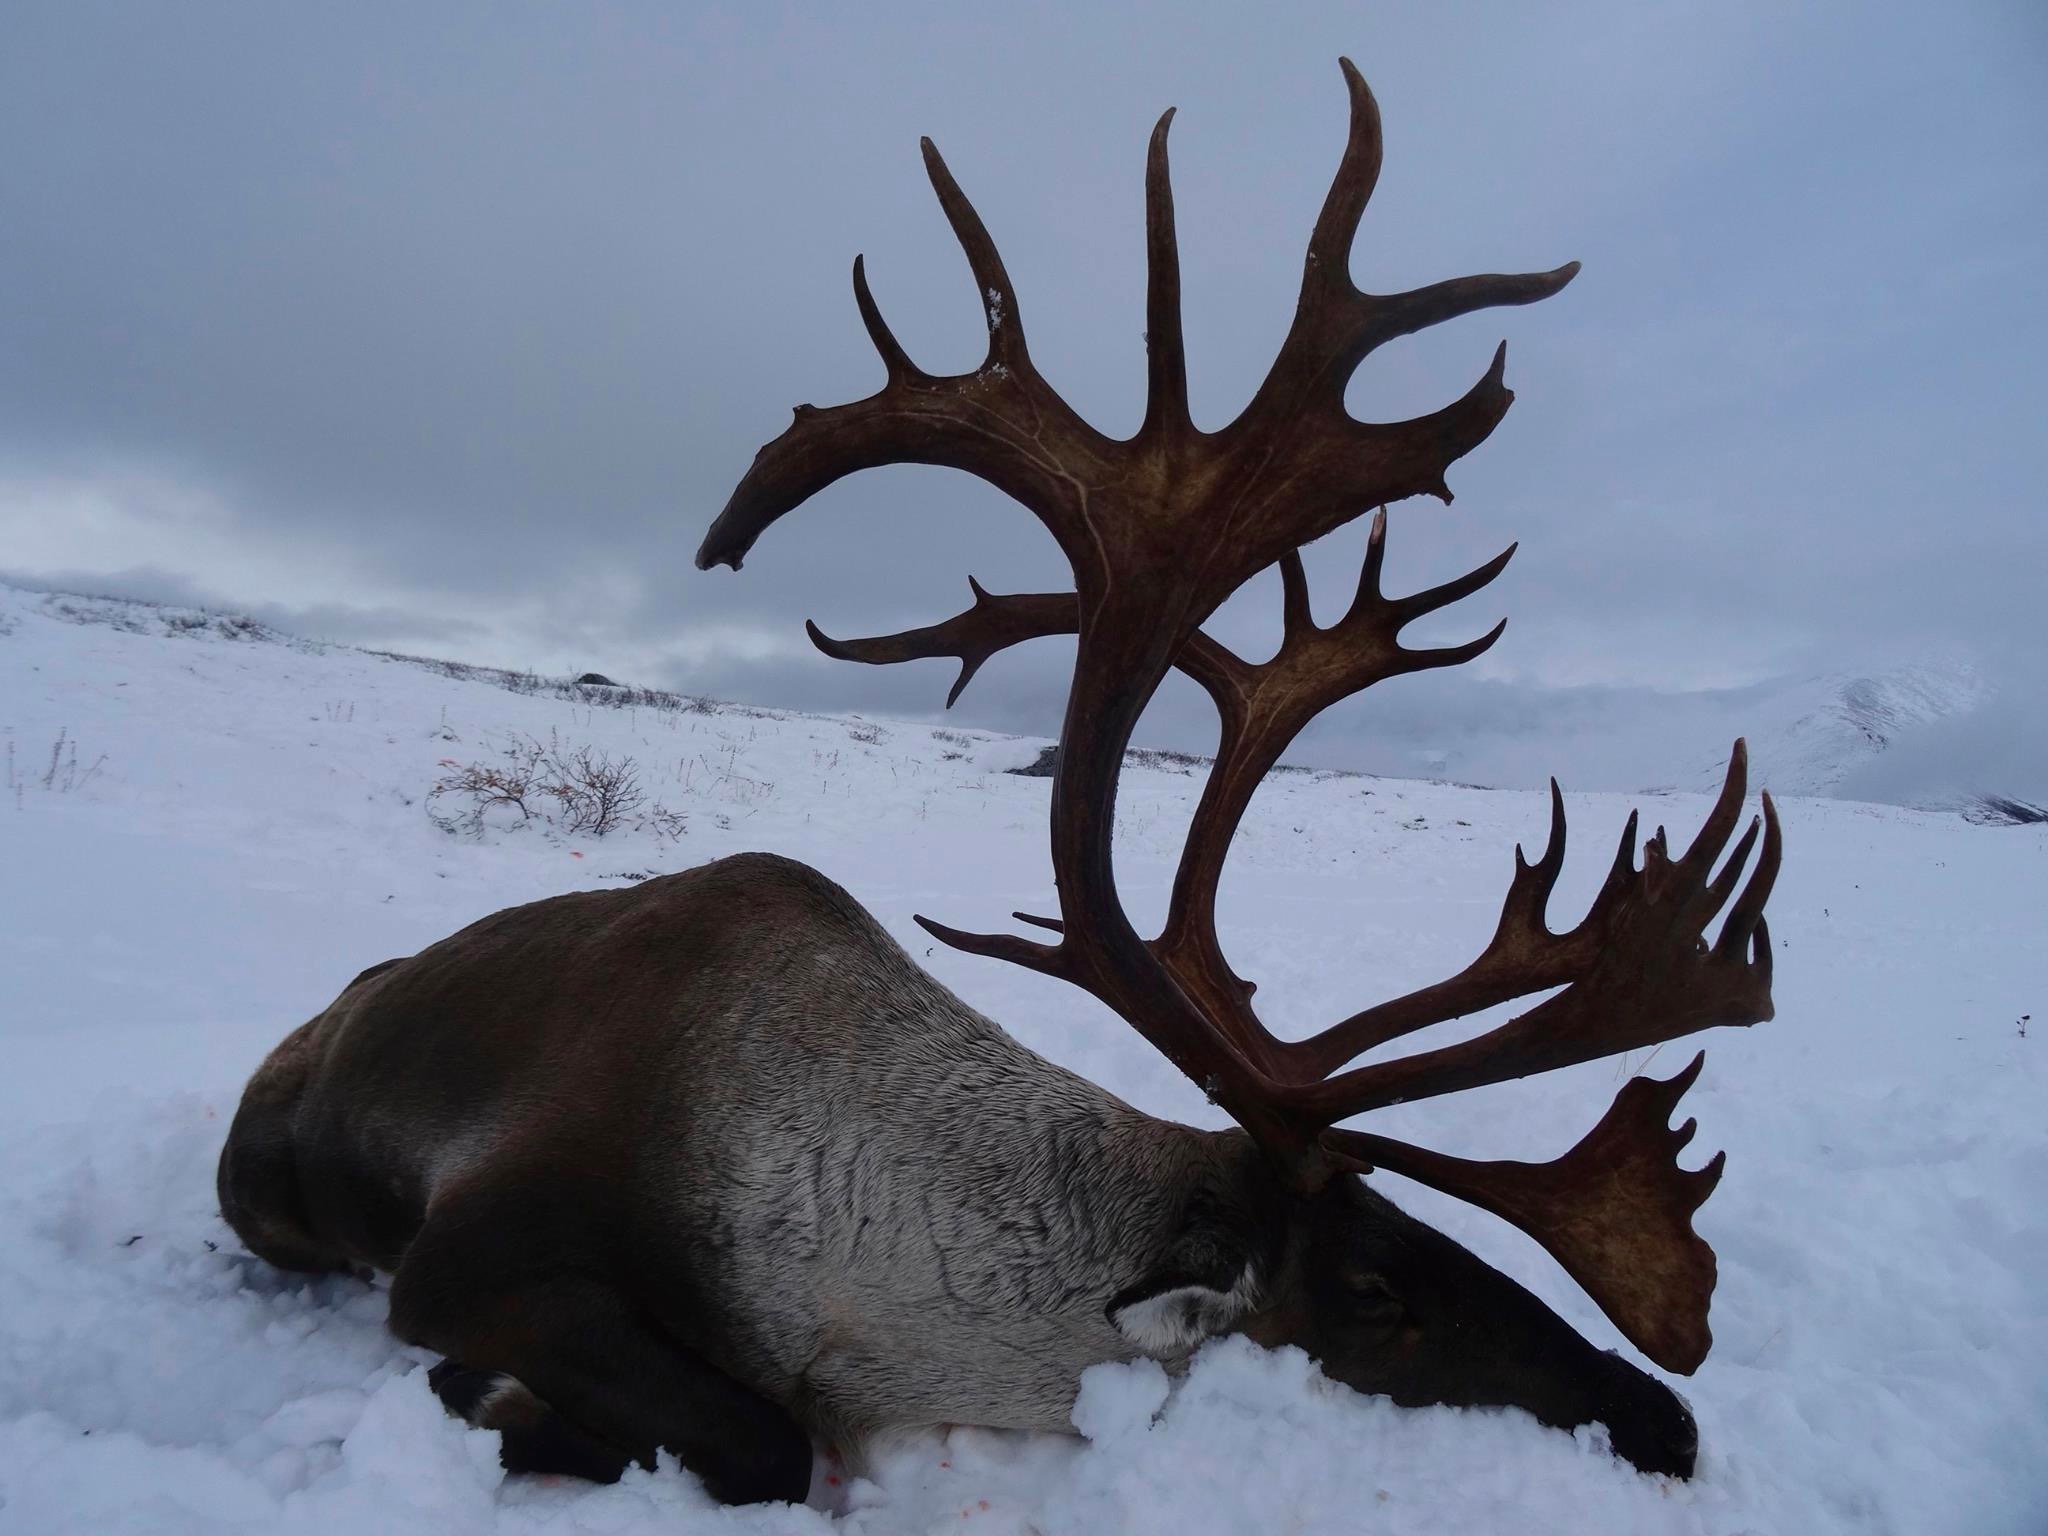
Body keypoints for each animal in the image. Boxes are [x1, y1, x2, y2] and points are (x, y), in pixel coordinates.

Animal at [217, 60, 1781, 1506]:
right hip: (266, 1185)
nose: (1668, 1421)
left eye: (1430, 1229)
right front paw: (484, 1399)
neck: (825, 1202)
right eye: (1377, 1294)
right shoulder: (474, 1255)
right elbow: (760, 1439)